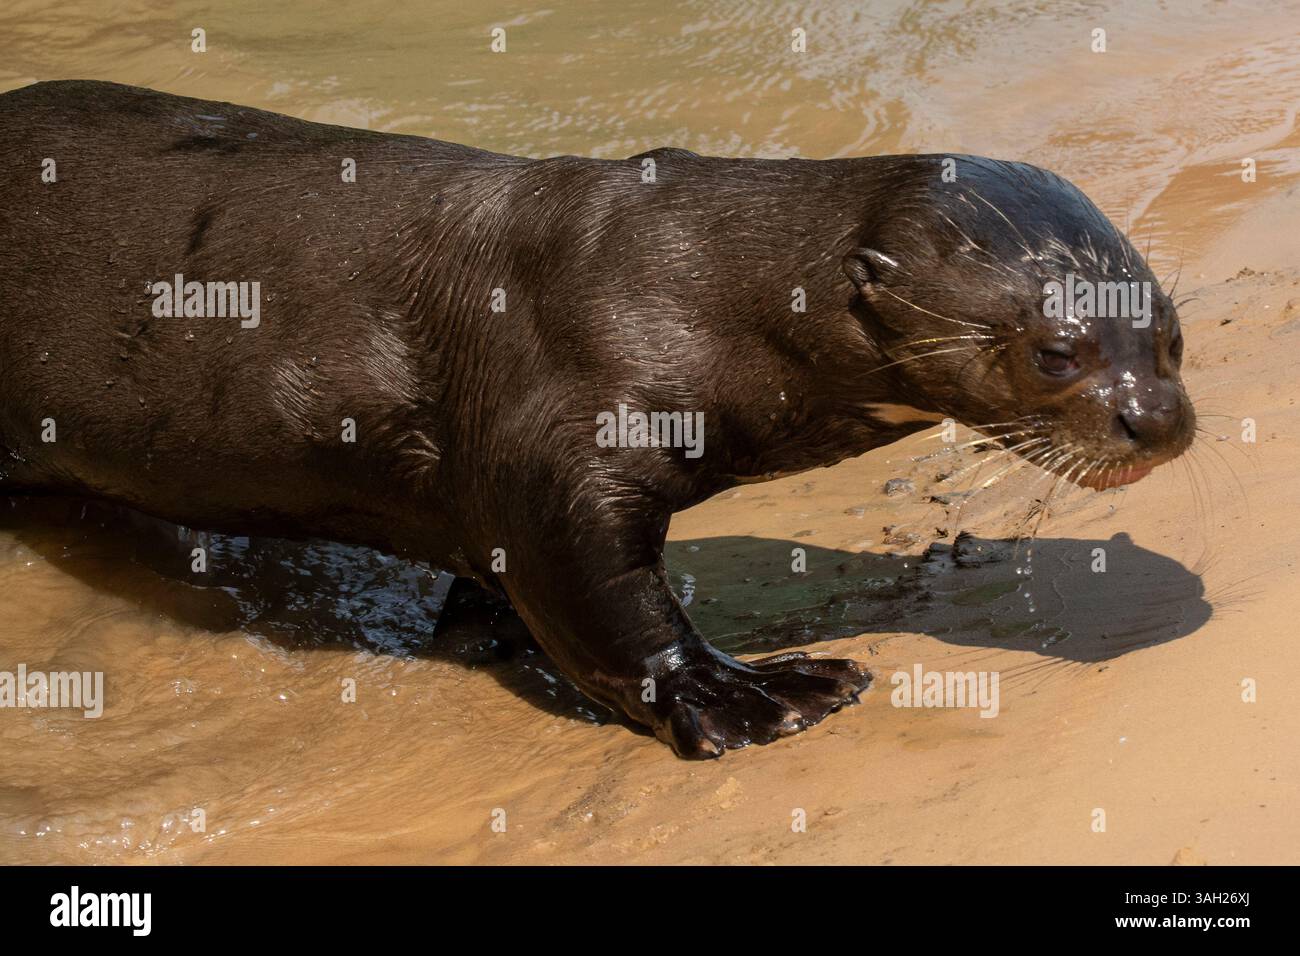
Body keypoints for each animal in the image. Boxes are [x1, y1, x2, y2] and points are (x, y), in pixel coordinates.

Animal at [0, 81, 1193, 758]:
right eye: (1055, 352)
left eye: (1170, 336)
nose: (1160, 423)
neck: (682, 285)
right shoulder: (554, 435)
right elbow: (596, 597)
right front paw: (762, 695)